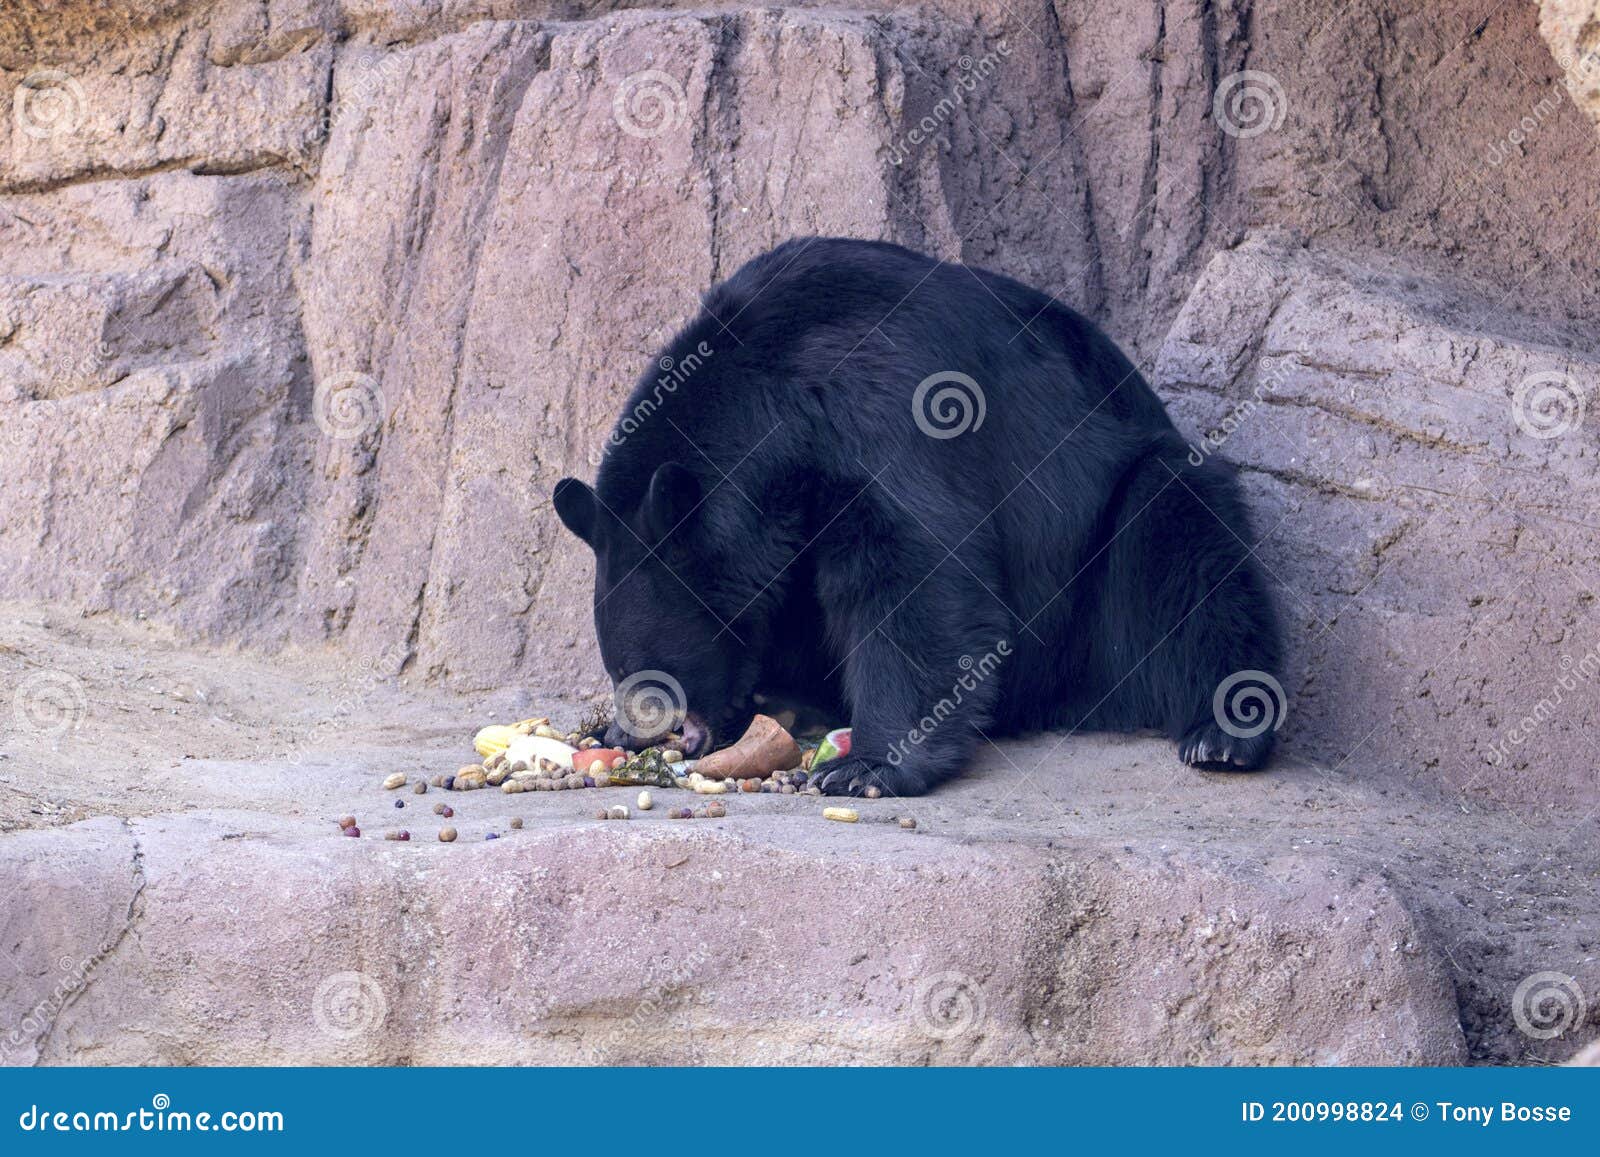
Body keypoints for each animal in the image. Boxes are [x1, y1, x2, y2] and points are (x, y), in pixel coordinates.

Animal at [553, 237, 1282, 796]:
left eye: (653, 678)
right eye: (621, 673)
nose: (647, 731)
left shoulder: (886, 409)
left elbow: (918, 571)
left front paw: (865, 767)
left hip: (1107, 540)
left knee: (1183, 539)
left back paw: (1223, 731)